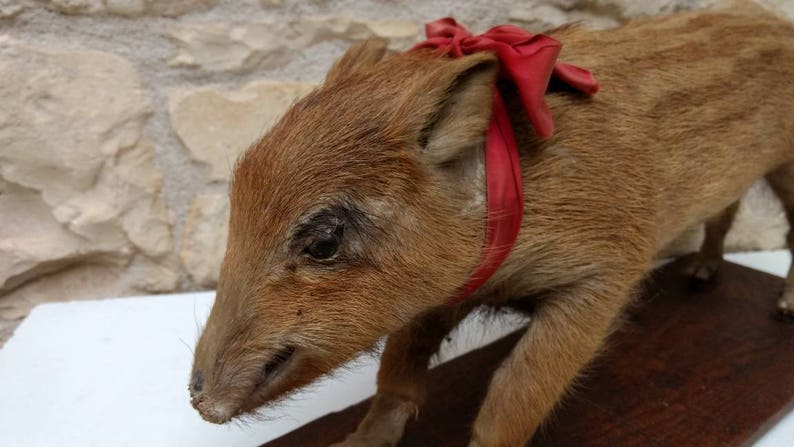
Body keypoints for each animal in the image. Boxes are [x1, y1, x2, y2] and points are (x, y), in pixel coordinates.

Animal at [189, 2, 794, 446]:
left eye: (324, 240)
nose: (198, 401)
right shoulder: (439, 290)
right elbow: (397, 370)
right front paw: (354, 443)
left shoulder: (602, 277)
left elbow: (513, 394)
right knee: (726, 214)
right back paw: (701, 275)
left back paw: (781, 308)